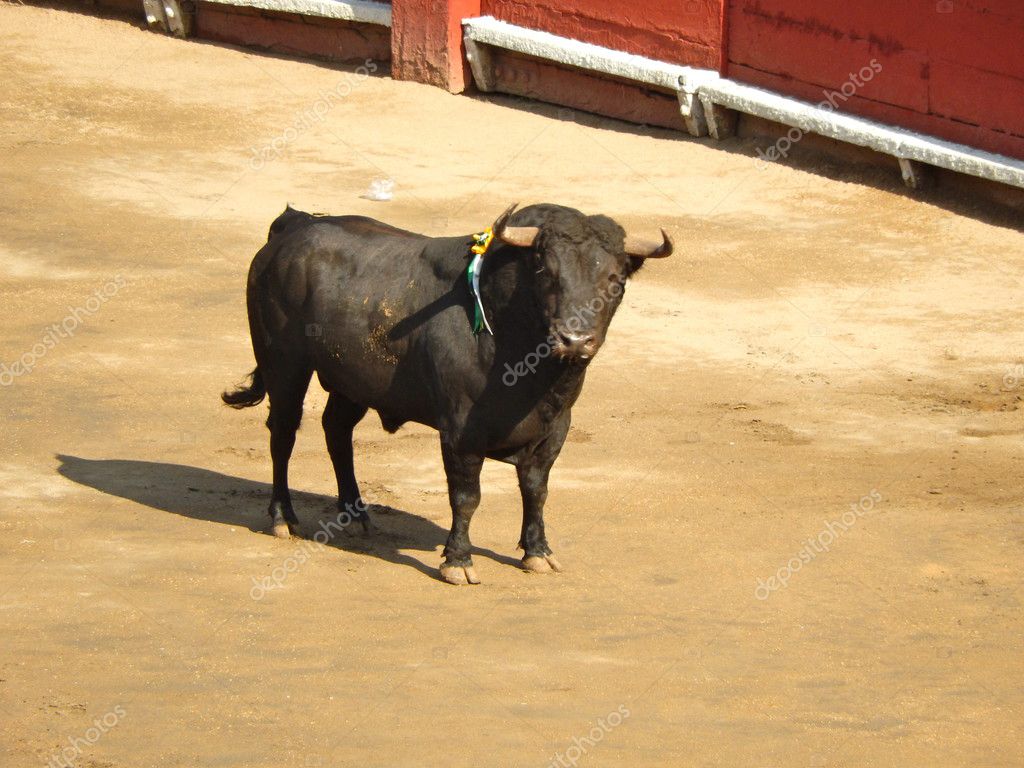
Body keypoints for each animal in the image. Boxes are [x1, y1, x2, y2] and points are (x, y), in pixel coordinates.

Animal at [222, 203, 673, 584]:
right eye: (547, 272)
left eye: (615, 280)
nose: (575, 339)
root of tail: (292, 226)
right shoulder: (460, 431)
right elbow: (466, 496)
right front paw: (458, 561)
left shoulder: (556, 428)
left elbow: (536, 490)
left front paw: (538, 552)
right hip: (285, 366)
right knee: (283, 434)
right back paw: (283, 517)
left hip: (351, 380)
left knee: (337, 430)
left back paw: (355, 513)